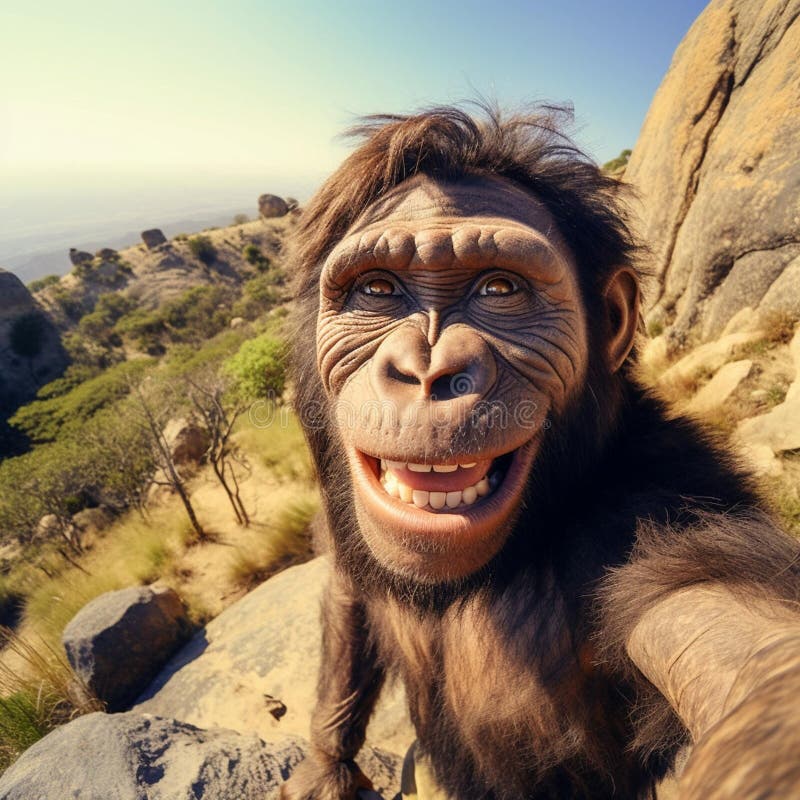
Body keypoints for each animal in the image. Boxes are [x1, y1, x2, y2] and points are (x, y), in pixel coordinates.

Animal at [280, 104, 800, 799]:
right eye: (378, 289)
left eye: (501, 288)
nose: (428, 370)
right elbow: (346, 587)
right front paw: (326, 764)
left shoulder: (662, 516)